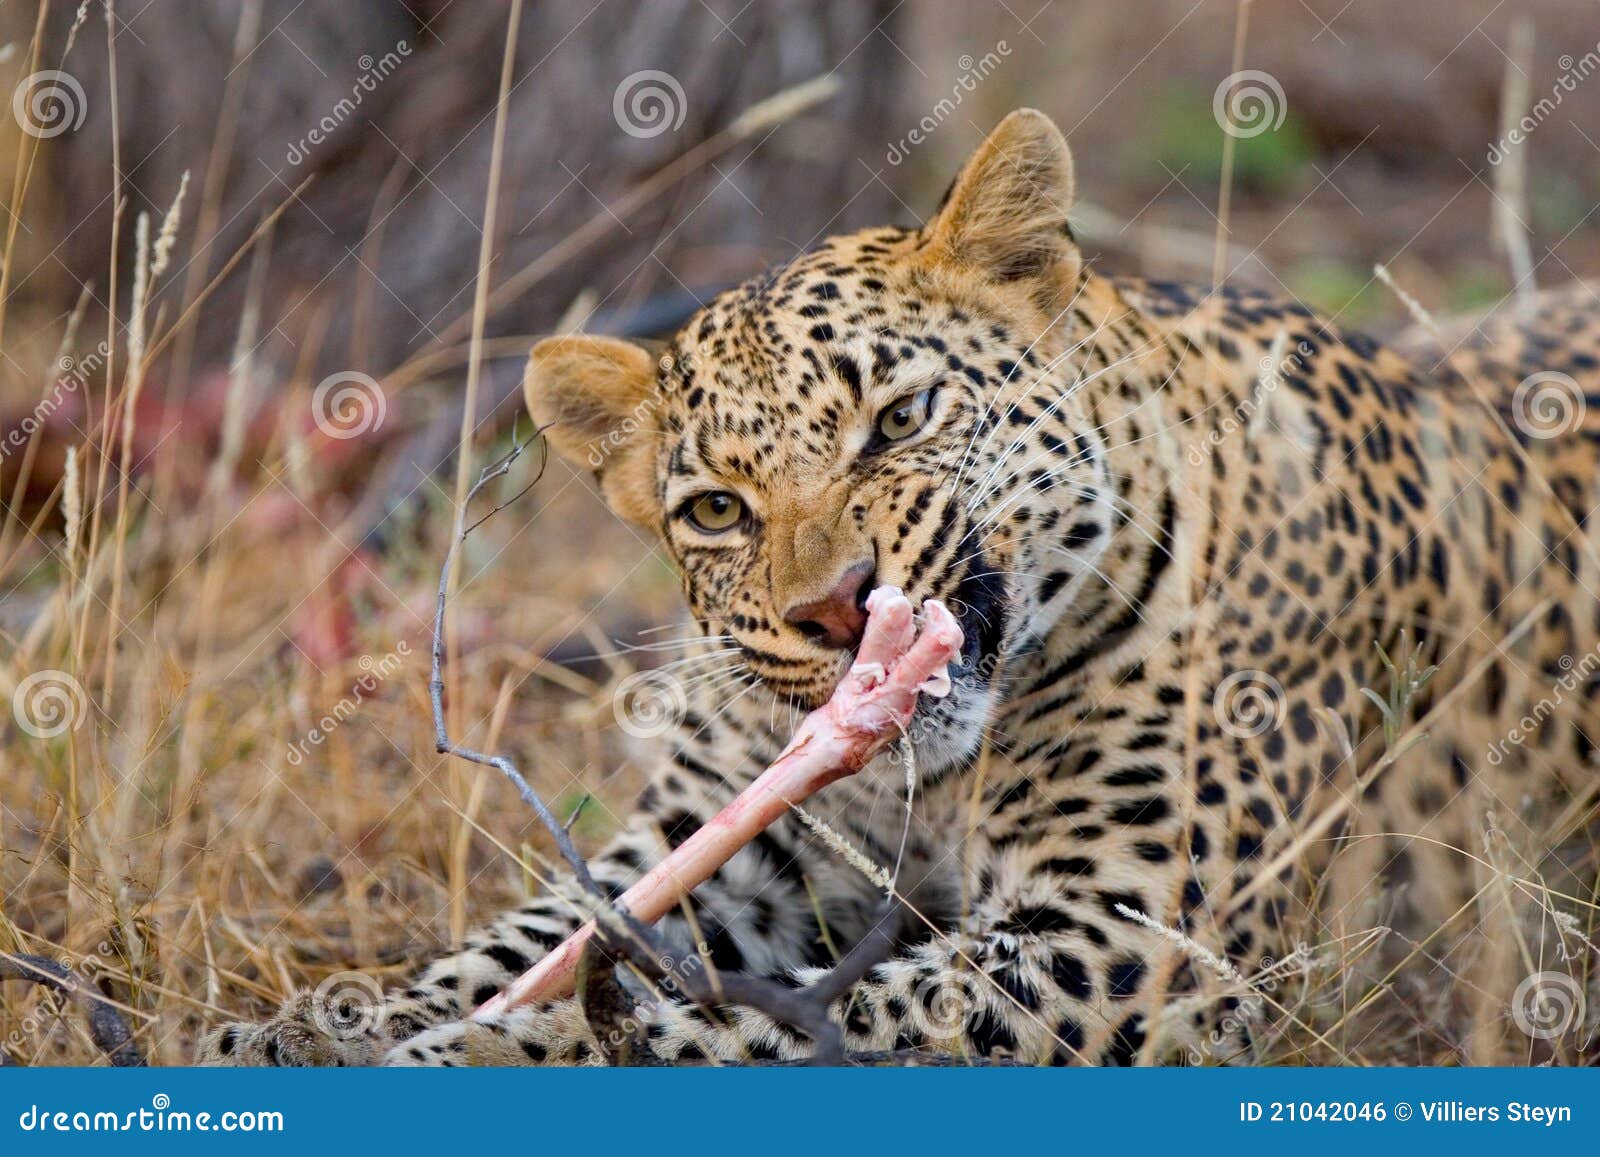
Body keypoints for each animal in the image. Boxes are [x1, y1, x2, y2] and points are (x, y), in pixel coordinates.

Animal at [201, 109, 1600, 1067]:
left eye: (898, 420)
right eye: (717, 510)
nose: (834, 609)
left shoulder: (1136, 946)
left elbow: (789, 1026)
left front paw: (485, 1048)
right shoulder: (734, 843)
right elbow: (540, 933)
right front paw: (317, 1020)